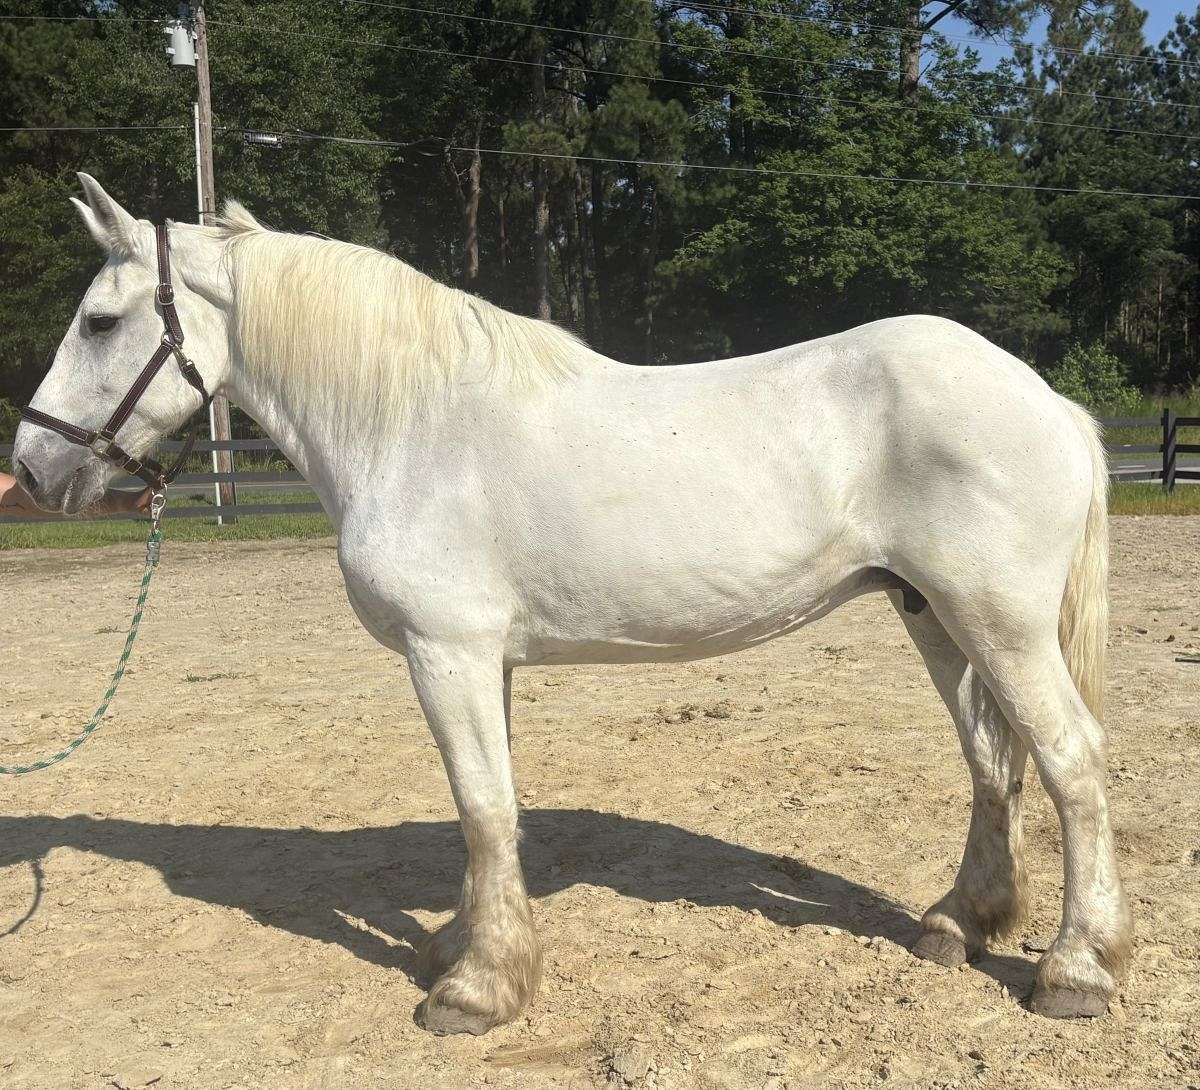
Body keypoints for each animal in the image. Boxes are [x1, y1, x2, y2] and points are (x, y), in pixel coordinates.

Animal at [13, 175, 1131, 1035]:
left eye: (100, 321)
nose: (31, 467)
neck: (412, 423)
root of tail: (1048, 399)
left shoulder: (447, 652)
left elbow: (481, 808)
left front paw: (474, 992)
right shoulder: (479, 661)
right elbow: (488, 812)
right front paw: (465, 947)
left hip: (999, 622)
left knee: (1070, 759)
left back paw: (1075, 969)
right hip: (931, 613)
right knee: (992, 763)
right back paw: (956, 924)